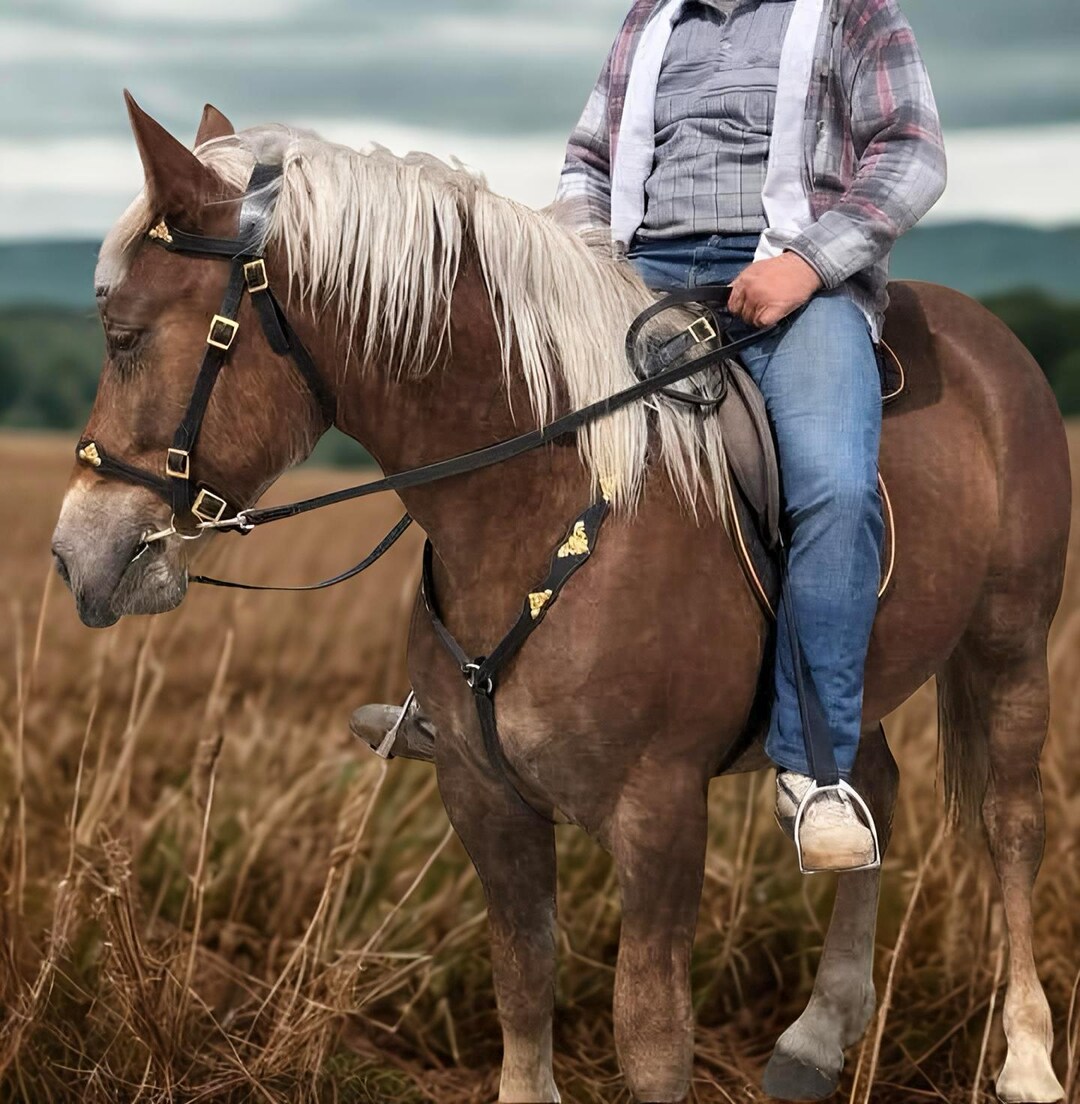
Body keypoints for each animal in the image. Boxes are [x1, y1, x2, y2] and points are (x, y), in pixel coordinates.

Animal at [50, 98, 1070, 1104]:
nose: (74, 554)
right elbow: (522, 983)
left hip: (1011, 646)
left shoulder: (660, 812)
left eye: (125, 336)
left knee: (1011, 825)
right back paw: (819, 1037)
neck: (534, 503)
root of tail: (988, 337)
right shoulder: (484, 798)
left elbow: (651, 1038)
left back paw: (1027, 1060)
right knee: (873, 792)